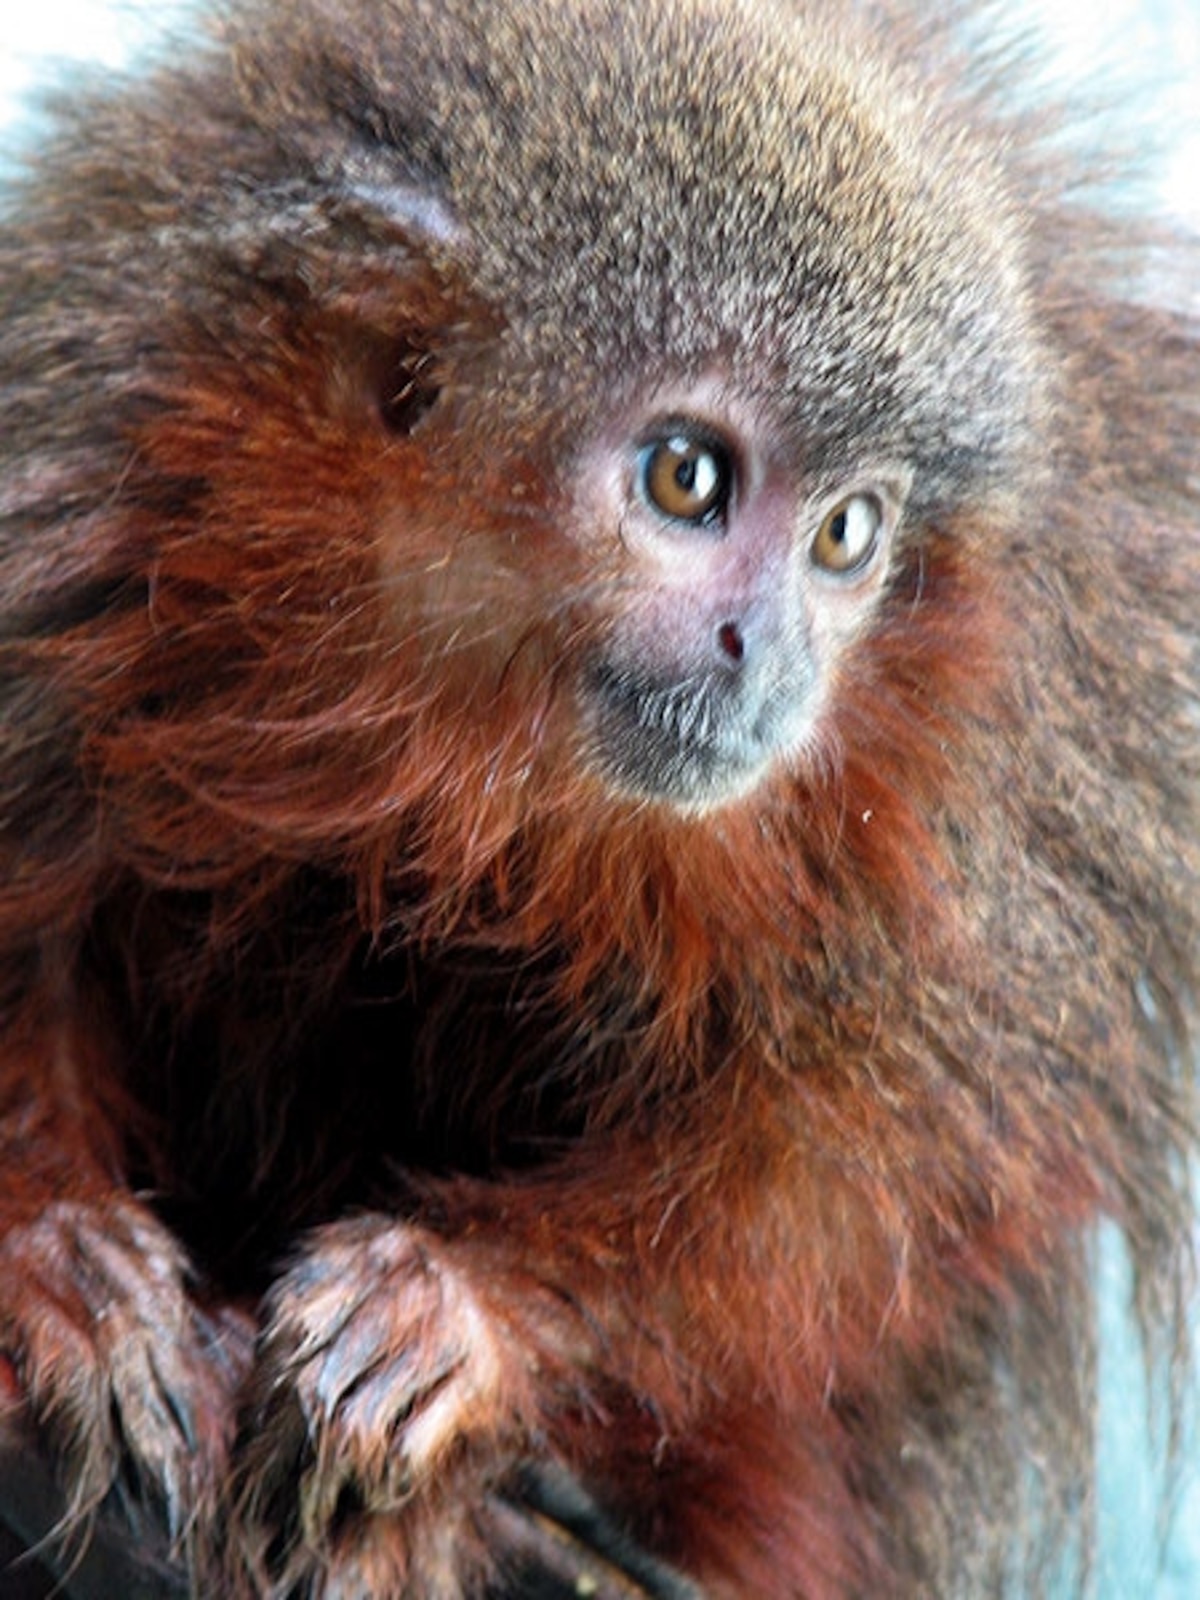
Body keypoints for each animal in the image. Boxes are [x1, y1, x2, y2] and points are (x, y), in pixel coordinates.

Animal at [0, 0, 1197, 1595]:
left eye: (847, 536)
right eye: (688, 477)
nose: (772, 655)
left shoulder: (987, 777)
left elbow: (903, 1143)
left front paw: (457, 1325)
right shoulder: (77, 470)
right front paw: (61, 1269)